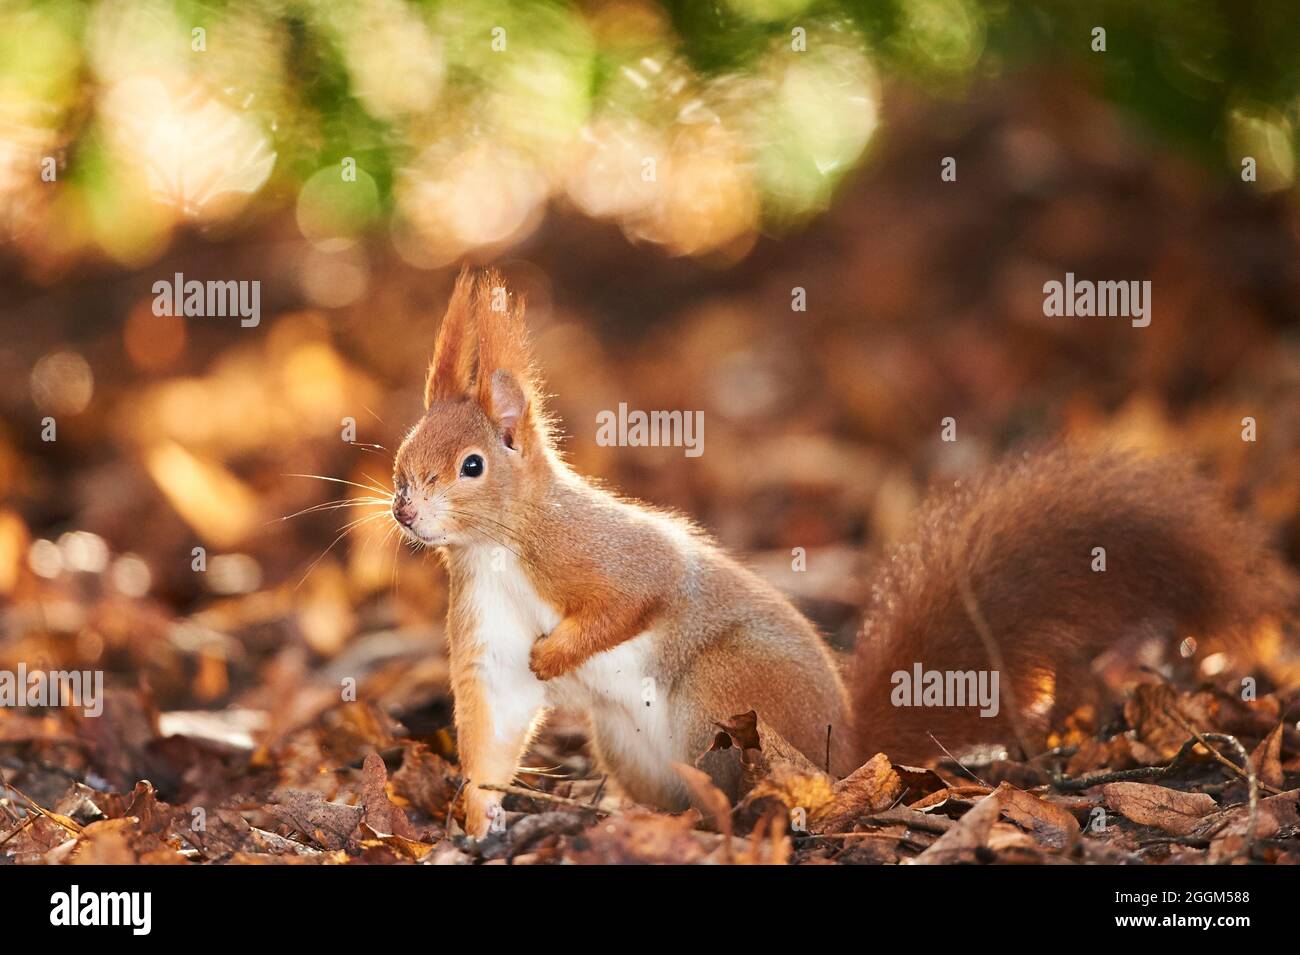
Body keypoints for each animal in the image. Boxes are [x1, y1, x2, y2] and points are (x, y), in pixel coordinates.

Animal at [391, 269, 1295, 837]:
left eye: (471, 466)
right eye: (402, 454)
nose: (403, 506)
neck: (499, 547)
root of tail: (856, 750)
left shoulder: (595, 550)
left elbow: (637, 593)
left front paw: (558, 654)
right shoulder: (487, 629)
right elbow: (496, 719)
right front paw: (479, 818)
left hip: (728, 693)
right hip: (634, 739)